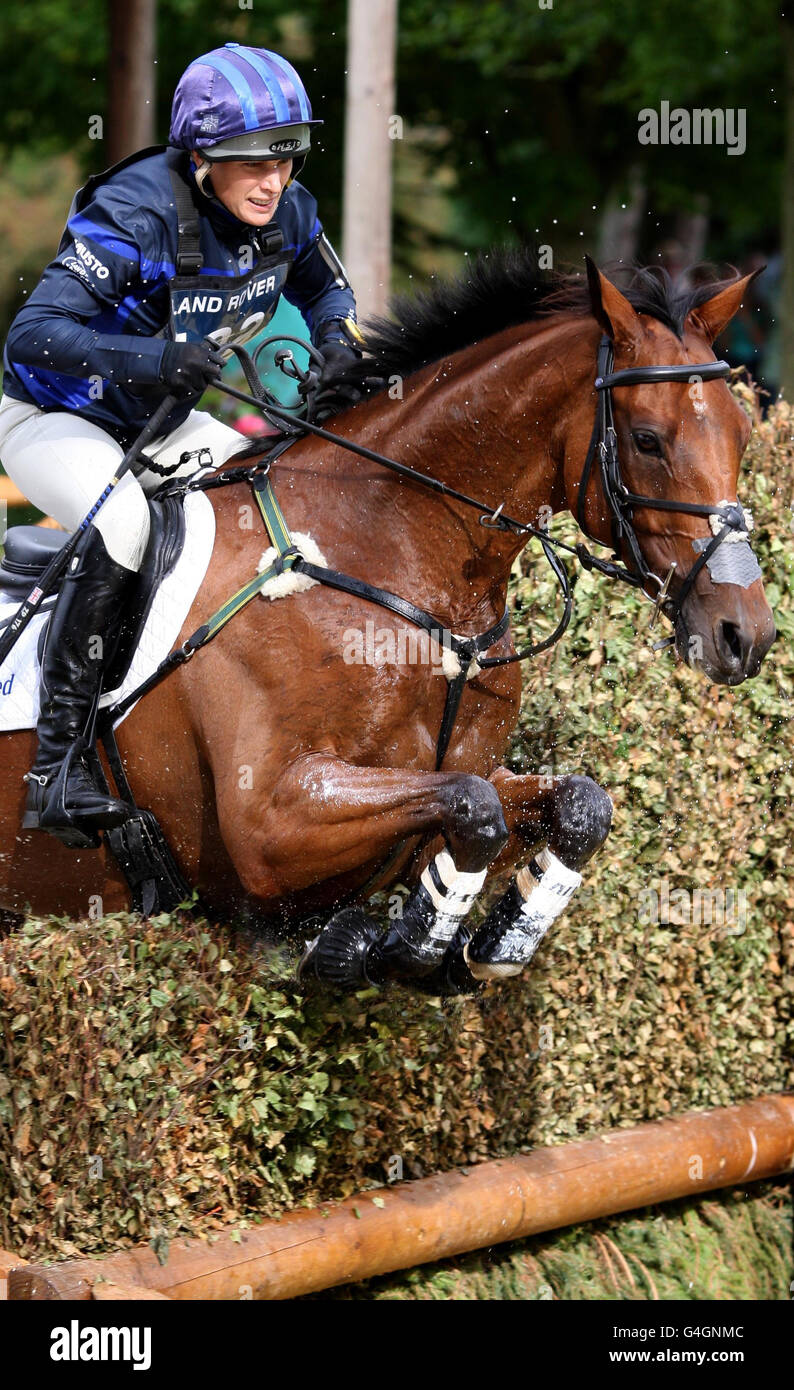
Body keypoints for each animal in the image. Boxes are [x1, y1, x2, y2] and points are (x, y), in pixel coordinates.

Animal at [0, 251, 775, 995]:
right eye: (646, 440)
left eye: (743, 435)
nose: (747, 636)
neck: (388, 550)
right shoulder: (270, 819)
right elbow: (472, 807)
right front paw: (391, 948)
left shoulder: (466, 774)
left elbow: (574, 804)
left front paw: (483, 946)